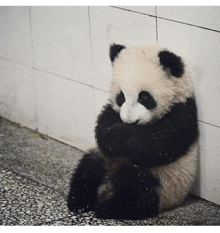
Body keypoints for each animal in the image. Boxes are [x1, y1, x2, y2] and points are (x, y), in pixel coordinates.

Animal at [67, 43, 199, 220]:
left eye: (144, 97)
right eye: (121, 97)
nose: (129, 121)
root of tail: (111, 185)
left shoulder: (182, 114)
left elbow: (157, 145)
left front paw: (120, 137)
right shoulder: (112, 110)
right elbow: (102, 128)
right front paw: (113, 135)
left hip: (166, 181)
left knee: (141, 192)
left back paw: (109, 207)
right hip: (104, 160)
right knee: (88, 168)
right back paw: (79, 202)